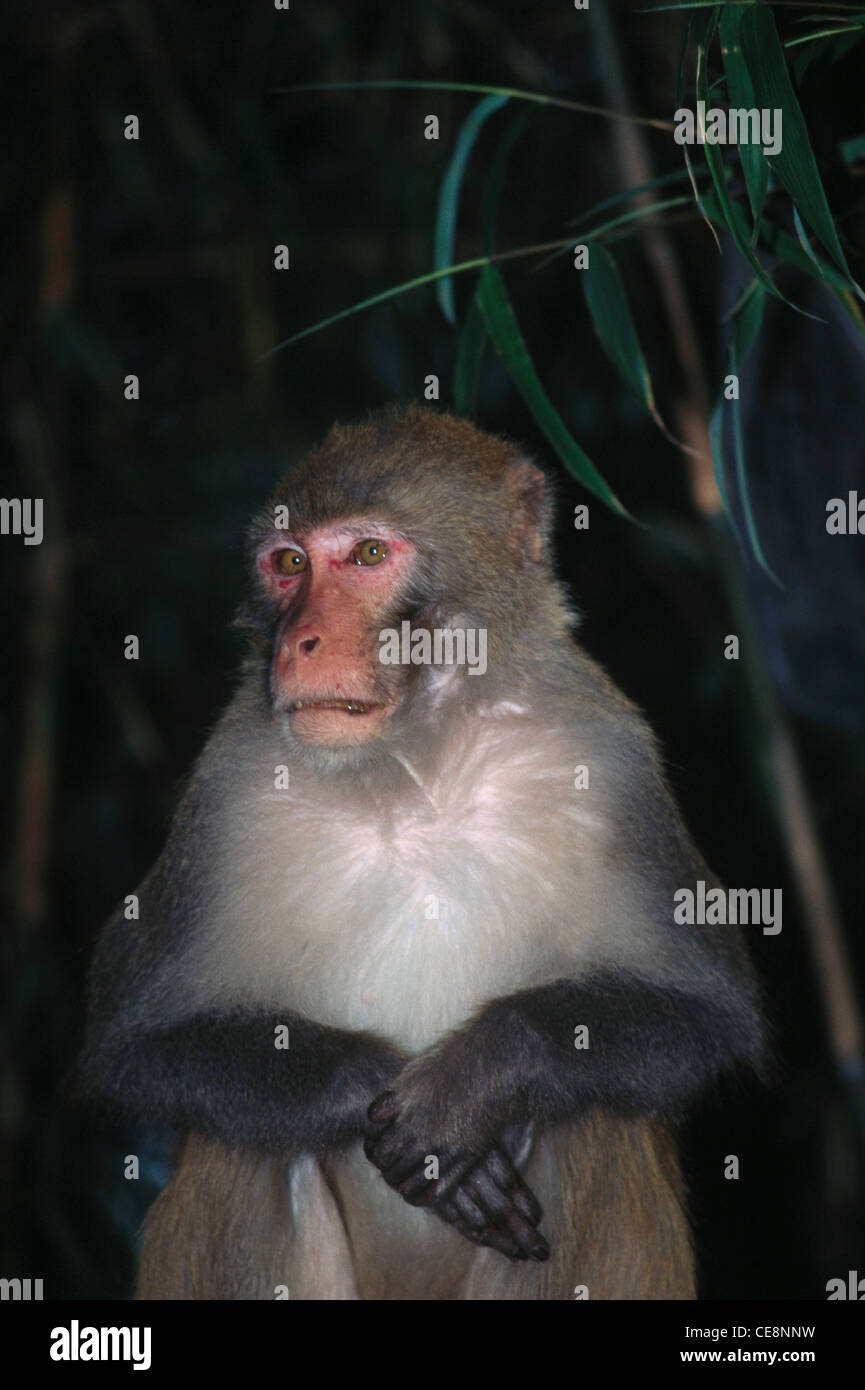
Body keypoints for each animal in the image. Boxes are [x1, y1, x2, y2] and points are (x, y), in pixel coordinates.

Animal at [77, 404, 765, 1300]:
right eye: (288, 563)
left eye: (369, 556)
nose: (299, 642)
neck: (412, 768)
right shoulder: (225, 784)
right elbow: (133, 1044)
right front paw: (360, 1083)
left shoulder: (613, 756)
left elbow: (710, 1014)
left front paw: (476, 1081)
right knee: (247, 1142)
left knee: (592, 1115)